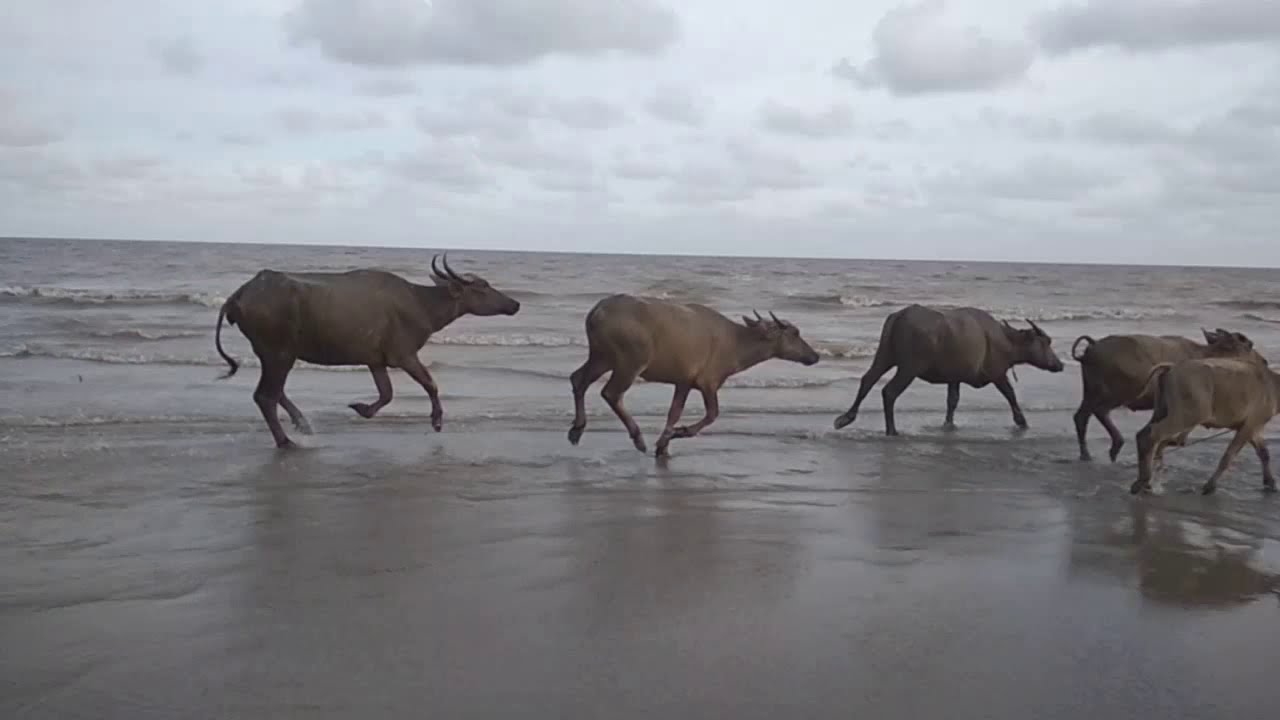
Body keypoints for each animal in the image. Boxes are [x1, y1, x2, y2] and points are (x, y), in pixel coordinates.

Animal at [215, 254, 520, 448]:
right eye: (483, 287)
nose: (515, 304)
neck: (422, 304)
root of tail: (237, 296)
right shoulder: (404, 354)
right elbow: (430, 384)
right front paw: (436, 420)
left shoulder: (376, 360)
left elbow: (386, 393)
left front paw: (361, 408)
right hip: (278, 352)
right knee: (265, 395)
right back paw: (286, 441)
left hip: (273, 354)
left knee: (275, 392)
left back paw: (302, 424)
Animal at [567, 294, 820, 457]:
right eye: (795, 333)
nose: (815, 356)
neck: (737, 345)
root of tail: (596, 312)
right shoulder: (708, 382)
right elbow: (712, 414)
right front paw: (675, 435)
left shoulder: (683, 381)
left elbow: (674, 412)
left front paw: (664, 444)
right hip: (630, 361)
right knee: (611, 392)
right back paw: (637, 437)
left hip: (602, 357)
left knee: (578, 379)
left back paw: (577, 429)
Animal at [833, 304, 1065, 435]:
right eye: (1046, 342)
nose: (1059, 364)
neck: (1005, 340)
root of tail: (899, 316)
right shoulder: (998, 374)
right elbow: (1011, 395)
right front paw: (1022, 422)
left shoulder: (955, 377)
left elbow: (952, 400)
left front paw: (948, 425)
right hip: (909, 367)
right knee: (889, 392)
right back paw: (892, 430)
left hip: (885, 356)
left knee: (867, 379)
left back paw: (845, 418)